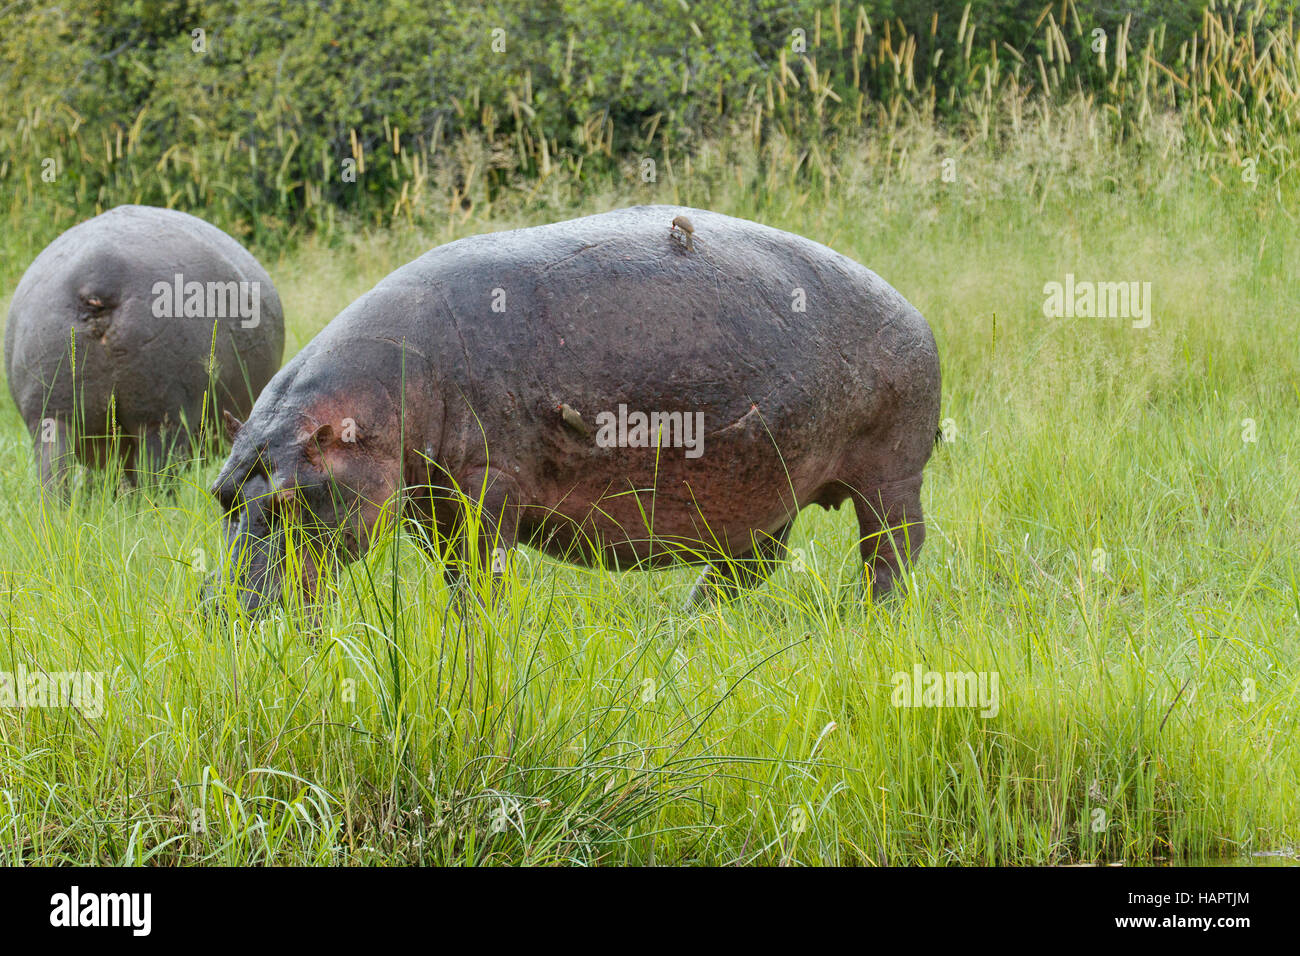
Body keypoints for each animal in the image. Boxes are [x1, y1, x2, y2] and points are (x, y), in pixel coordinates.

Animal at [209, 205, 940, 613]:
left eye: (288, 501)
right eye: (220, 495)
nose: (230, 615)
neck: (384, 398)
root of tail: (913, 309)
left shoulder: (485, 489)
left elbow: (479, 576)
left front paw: (478, 631)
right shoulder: (431, 504)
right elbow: (455, 573)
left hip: (892, 476)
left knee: (892, 552)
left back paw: (870, 621)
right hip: (769, 489)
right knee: (749, 566)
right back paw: (688, 624)